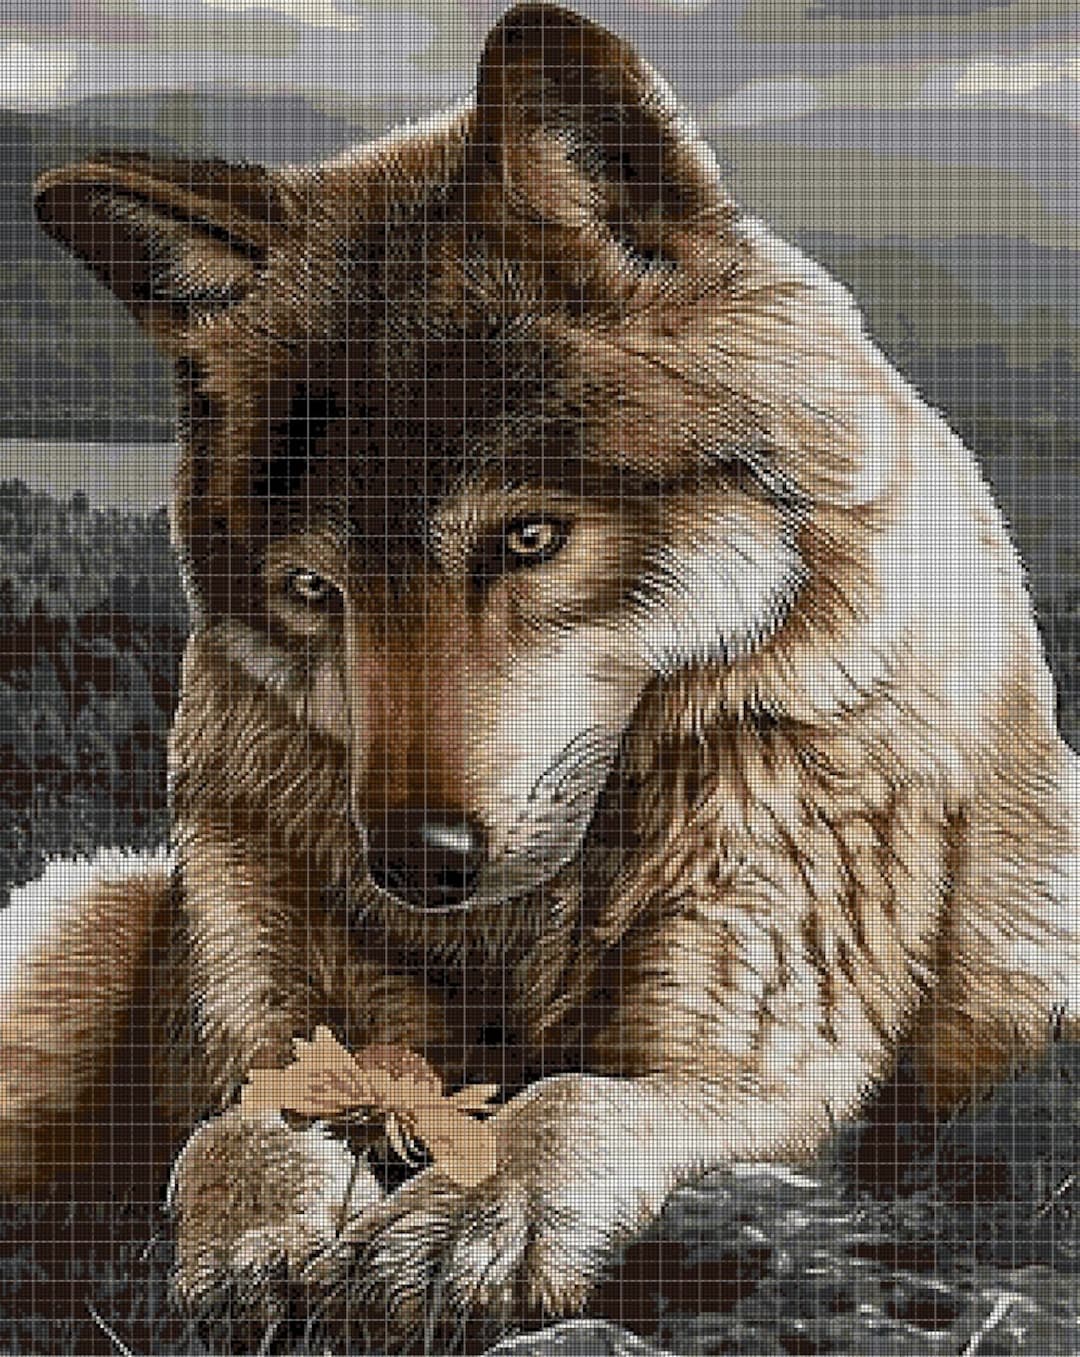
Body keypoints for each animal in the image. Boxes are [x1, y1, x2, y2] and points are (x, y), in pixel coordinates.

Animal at [3, 2, 1079, 1351]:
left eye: (528, 538)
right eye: (314, 589)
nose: (412, 863)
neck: (524, 932)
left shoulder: (757, 1059)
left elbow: (568, 1095)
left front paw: (469, 1218)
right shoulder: (273, 1013)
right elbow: (242, 1122)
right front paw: (259, 1238)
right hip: (73, 922)